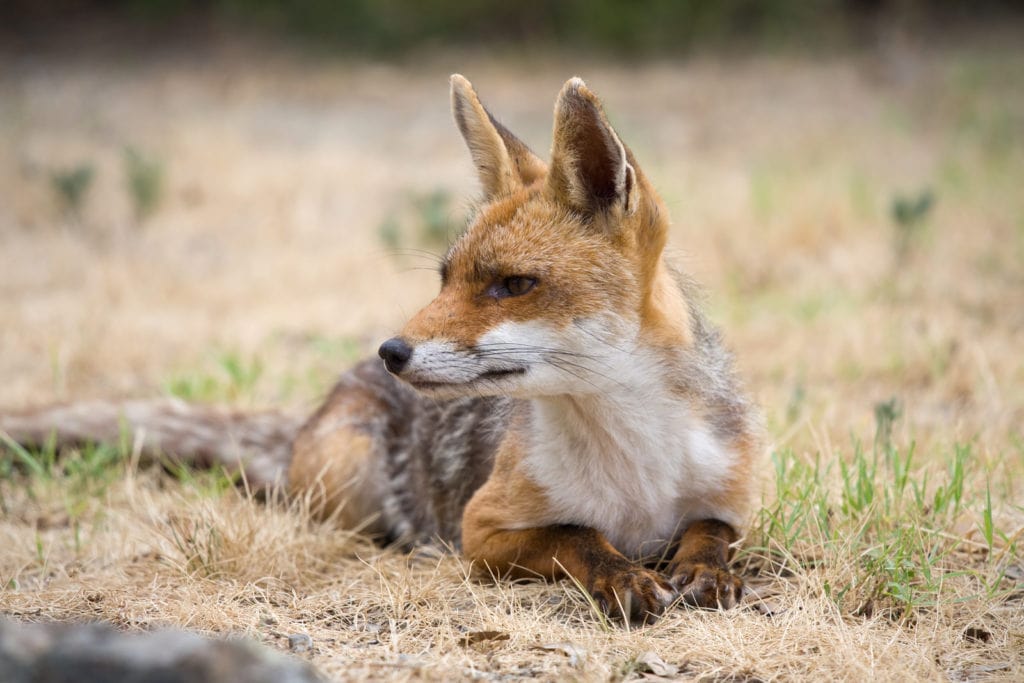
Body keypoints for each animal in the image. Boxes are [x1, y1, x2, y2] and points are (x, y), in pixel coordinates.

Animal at [1, 75, 762, 625]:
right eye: (445, 278)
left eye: (514, 285)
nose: (391, 351)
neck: (632, 469)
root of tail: (323, 401)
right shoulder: (483, 531)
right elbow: (577, 537)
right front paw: (622, 575)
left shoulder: (736, 501)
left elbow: (708, 531)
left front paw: (704, 570)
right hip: (350, 482)